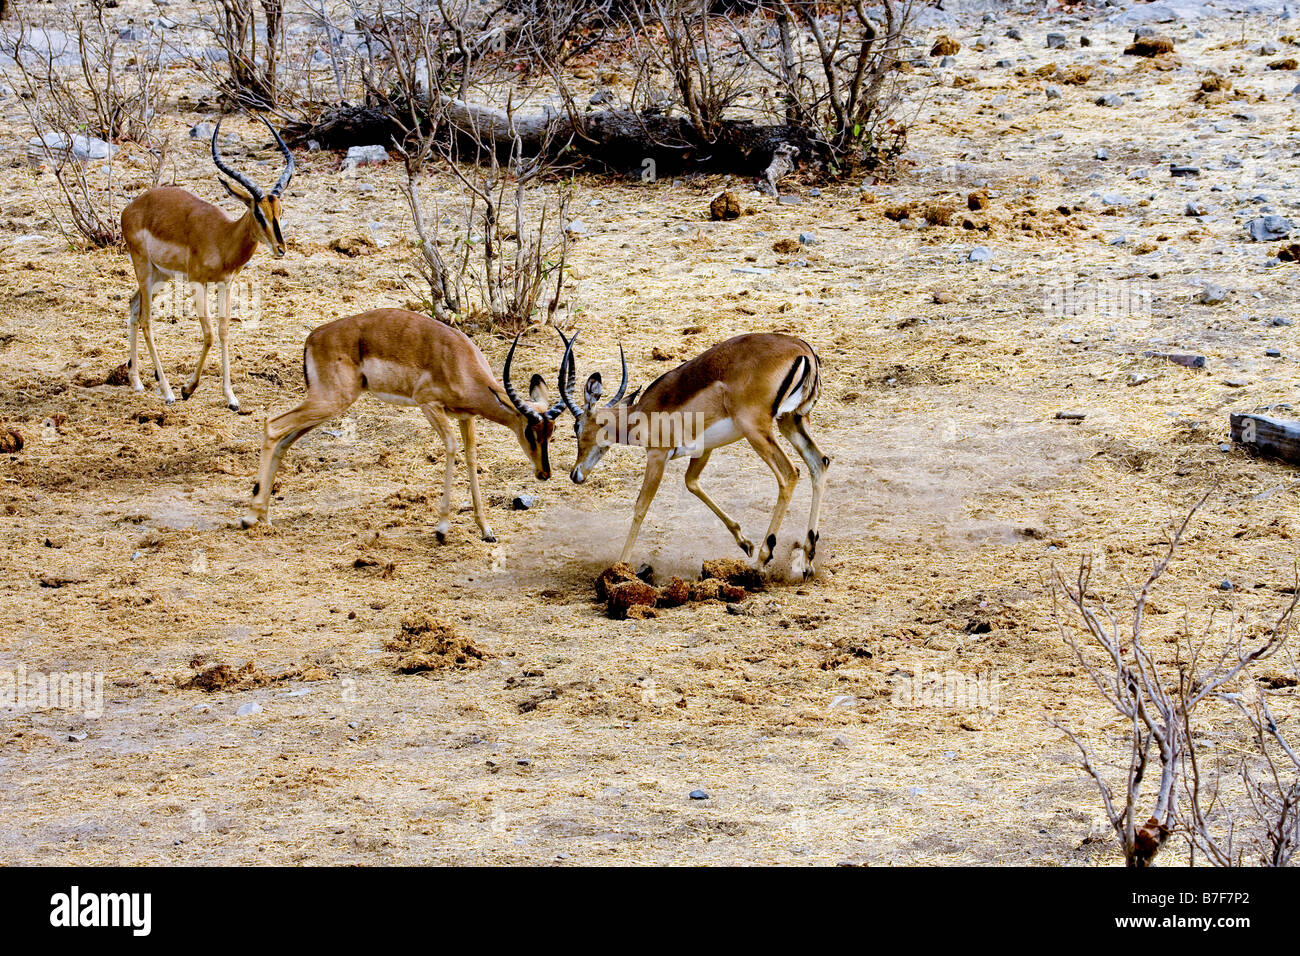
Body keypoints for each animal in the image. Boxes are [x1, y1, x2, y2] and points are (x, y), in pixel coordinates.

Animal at [120, 116, 294, 411]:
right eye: (258, 213)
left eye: (279, 211)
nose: (280, 248)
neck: (222, 237)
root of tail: (129, 209)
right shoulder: (197, 283)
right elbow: (210, 334)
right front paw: (187, 388)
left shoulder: (226, 284)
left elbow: (224, 332)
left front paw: (231, 398)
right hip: (143, 268)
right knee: (145, 321)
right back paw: (167, 392)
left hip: (159, 276)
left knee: (133, 306)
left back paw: (137, 382)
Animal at [241, 309, 566, 541]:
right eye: (529, 431)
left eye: (551, 433)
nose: (544, 473)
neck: (459, 362)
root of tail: (313, 337)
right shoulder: (429, 405)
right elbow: (451, 447)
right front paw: (441, 528)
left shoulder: (465, 417)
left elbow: (471, 457)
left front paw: (486, 531)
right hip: (328, 402)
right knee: (272, 425)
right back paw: (249, 516)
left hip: (326, 407)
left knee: (284, 440)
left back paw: (265, 517)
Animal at [559, 332, 830, 580]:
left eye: (576, 426)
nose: (575, 474)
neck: (643, 412)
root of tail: (803, 349)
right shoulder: (704, 449)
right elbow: (692, 483)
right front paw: (744, 542)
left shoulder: (657, 456)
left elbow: (641, 507)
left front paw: (620, 566)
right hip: (792, 420)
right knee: (819, 463)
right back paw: (806, 560)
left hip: (757, 430)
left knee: (789, 474)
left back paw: (762, 562)